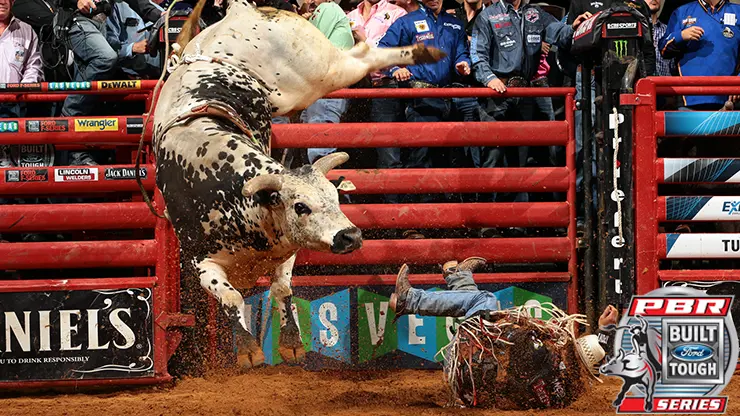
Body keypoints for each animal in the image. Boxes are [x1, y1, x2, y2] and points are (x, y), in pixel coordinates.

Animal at [151, 0, 444, 367]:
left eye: (336, 197)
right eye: (300, 206)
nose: (350, 236)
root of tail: (238, 12)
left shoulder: (287, 247)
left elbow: (282, 289)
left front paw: (290, 341)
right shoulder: (201, 262)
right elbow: (232, 299)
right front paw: (247, 349)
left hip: (310, 72)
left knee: (361, 57)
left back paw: (424, 51)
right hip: (307, 74)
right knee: (359, 56)